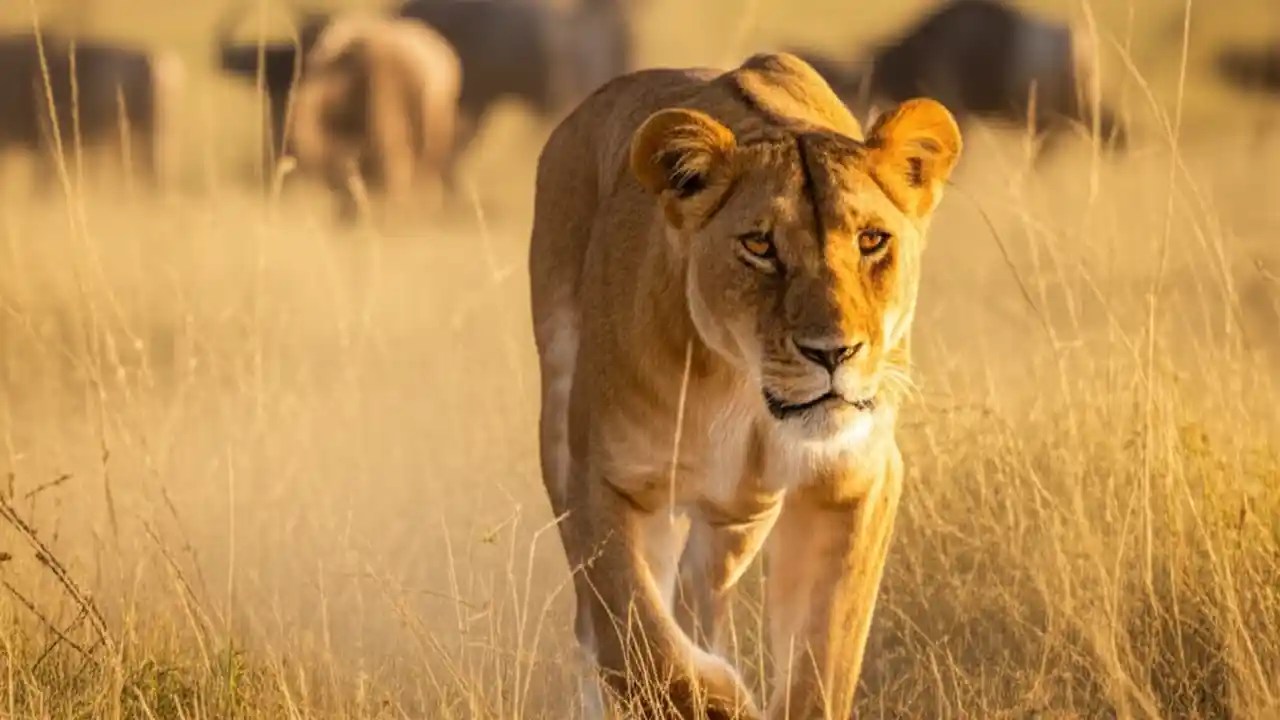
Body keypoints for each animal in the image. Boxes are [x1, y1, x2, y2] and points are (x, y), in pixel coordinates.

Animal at [529, 52, 961, 718]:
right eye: (759, 246)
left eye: (871, 240)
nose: (832, 352)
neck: (743, 398)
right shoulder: (604, 478)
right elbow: (642, 643)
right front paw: (717, 699)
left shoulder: (856, 482)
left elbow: (822, 659)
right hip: (559, 417)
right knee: (605, 614)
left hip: (742, 510)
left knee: (700, 587)